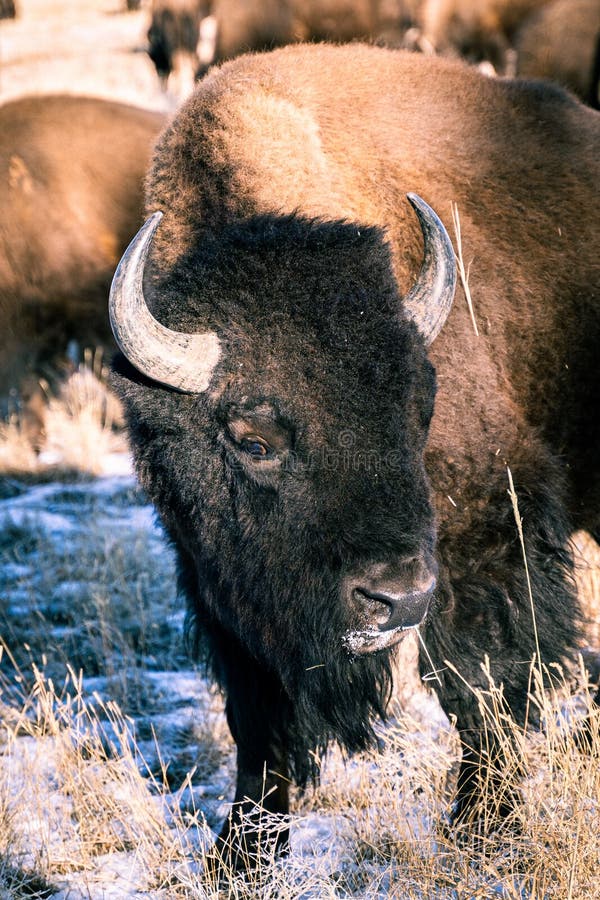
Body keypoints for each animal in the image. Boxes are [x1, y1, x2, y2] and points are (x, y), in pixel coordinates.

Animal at [109, 44, 600, 869]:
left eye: (420, 410)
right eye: (253, 439)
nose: (395, 598)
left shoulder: (486, 533)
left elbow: (483, 680)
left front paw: (485, 828)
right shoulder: (221, 578)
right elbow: (259, 721)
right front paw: (240, 855)